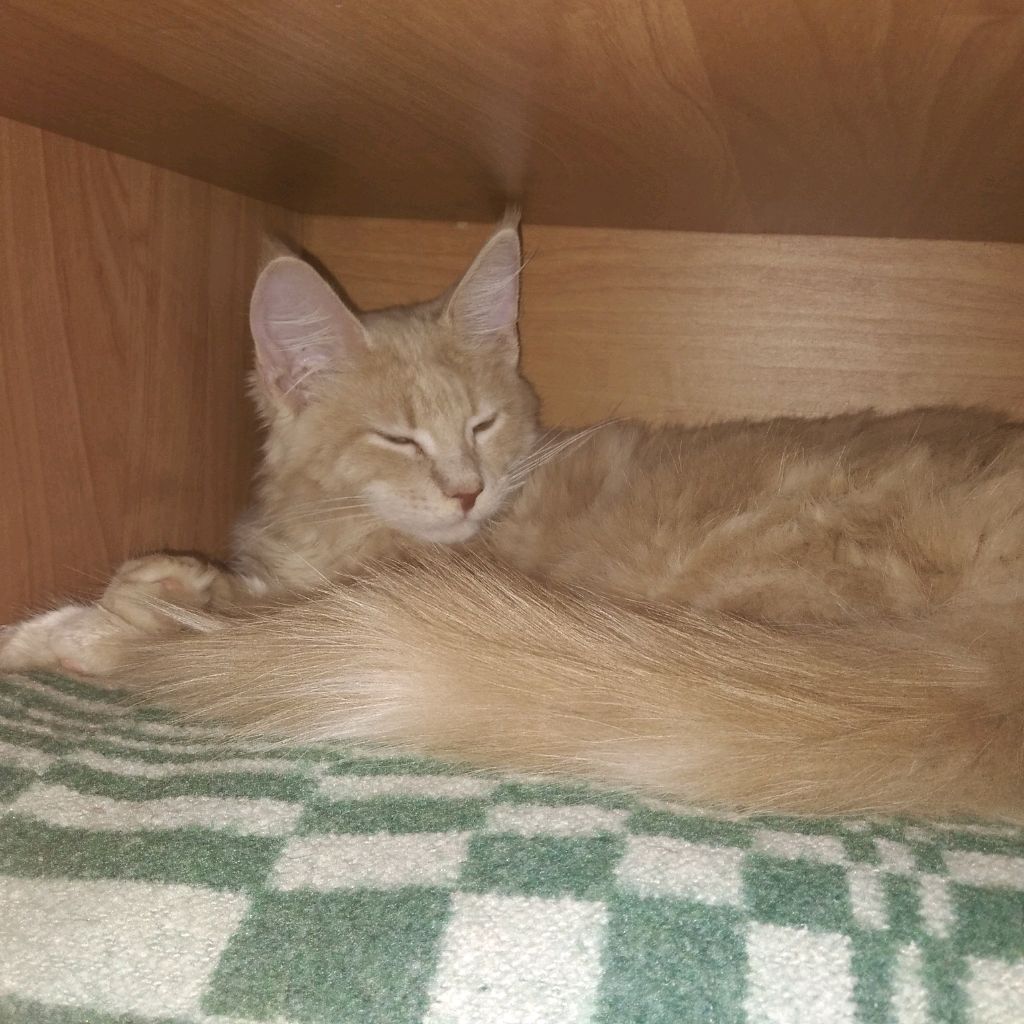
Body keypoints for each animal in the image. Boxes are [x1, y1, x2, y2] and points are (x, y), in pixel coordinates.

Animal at [2, 213, 1023, 822]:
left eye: (482, 423)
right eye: (400, 437)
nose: (466, 490)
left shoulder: (318, 598)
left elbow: (166, 607)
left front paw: (79, 627)